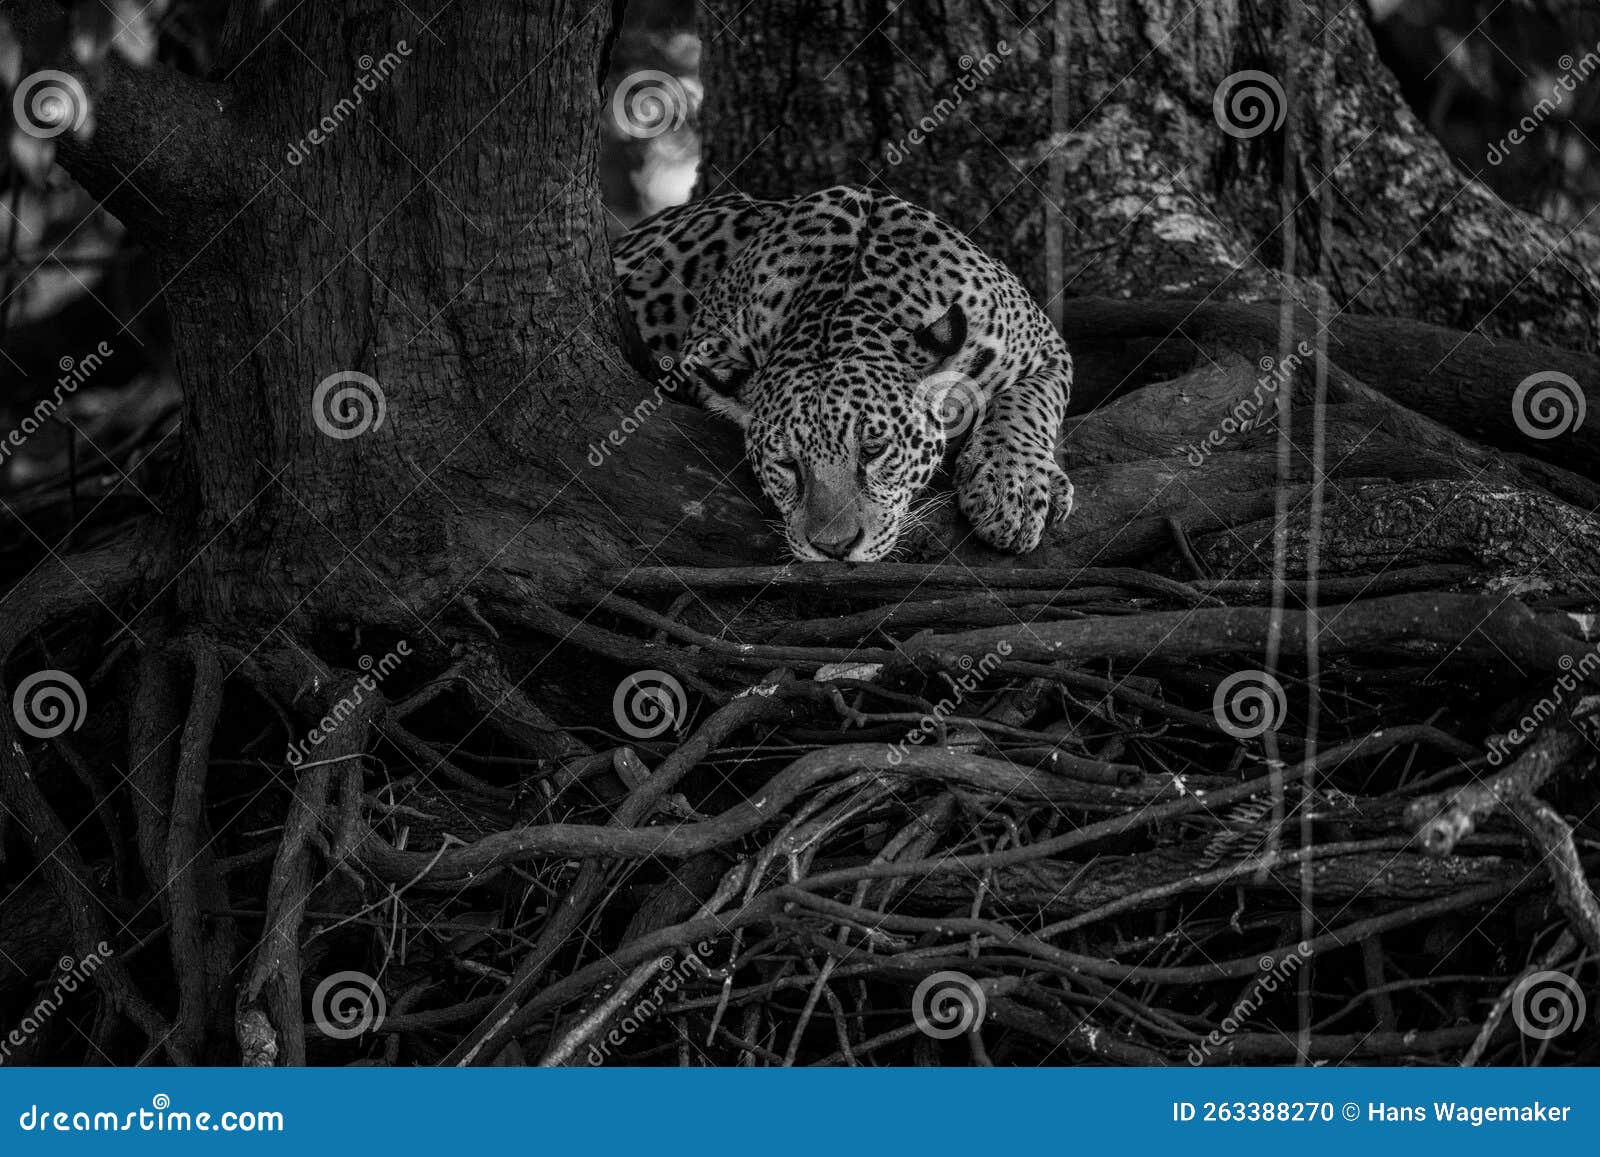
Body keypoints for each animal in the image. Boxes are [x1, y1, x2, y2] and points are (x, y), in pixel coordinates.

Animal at [613, 184, 1074, 562]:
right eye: (786, 463)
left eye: (873, 450)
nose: (833, 548)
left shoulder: (1045, 345)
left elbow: (1025, 404)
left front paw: (1014, 491)